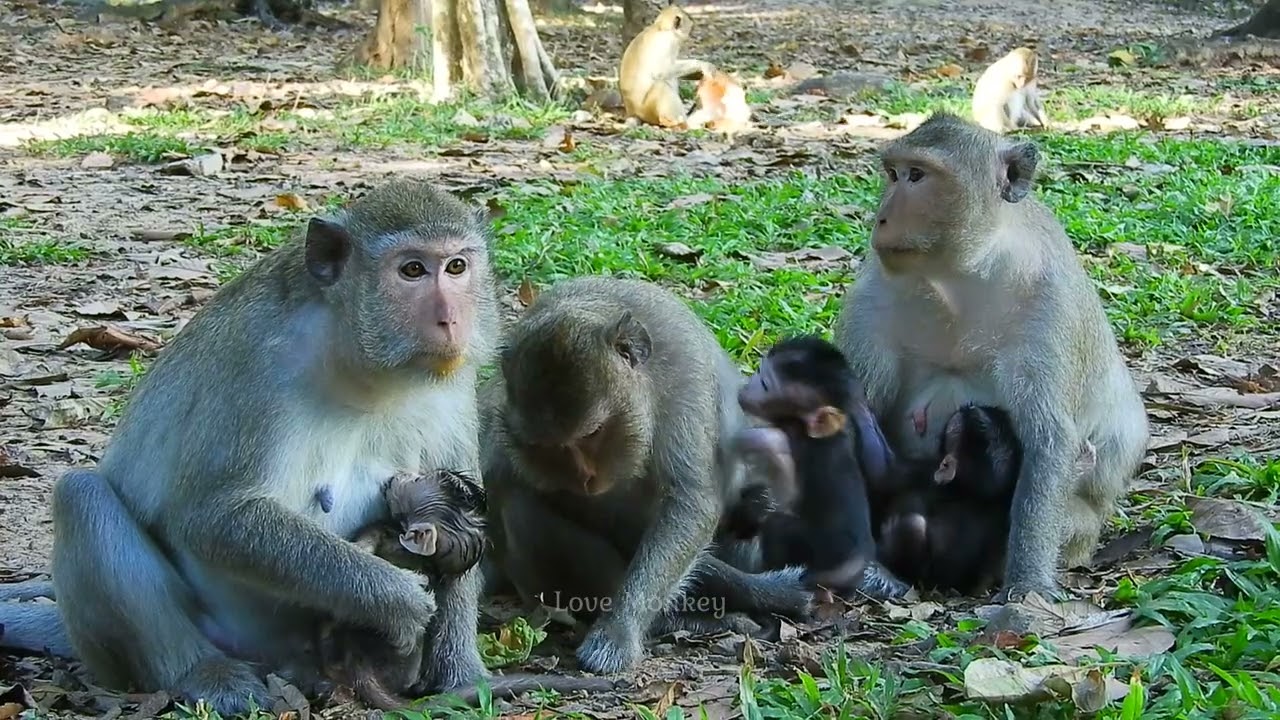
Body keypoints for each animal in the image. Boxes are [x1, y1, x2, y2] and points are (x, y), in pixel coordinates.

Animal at [0, 179, 511, 715]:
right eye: (412, 270)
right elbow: (213, 517)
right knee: (82, 497)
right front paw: (397, 600)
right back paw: (202, 672)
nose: (451, 320)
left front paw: (460, 674)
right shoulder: (255, 367)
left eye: (456, 266)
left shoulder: (454, 381)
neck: (361, 360)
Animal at [480, 277, 814, 675]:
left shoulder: (686, 385)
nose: (586, 478)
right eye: (553, 448)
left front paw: (619, 629)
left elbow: (690, 502)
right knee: (519, 503)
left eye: (592, 433)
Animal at [832, 112, 1151, 603]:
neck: (959, 277)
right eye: (893, 173)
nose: (882, 217)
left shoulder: (1048, 302)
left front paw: (1028, 584)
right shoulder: (870, 299)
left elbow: (1050, 438)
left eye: (917, 175)